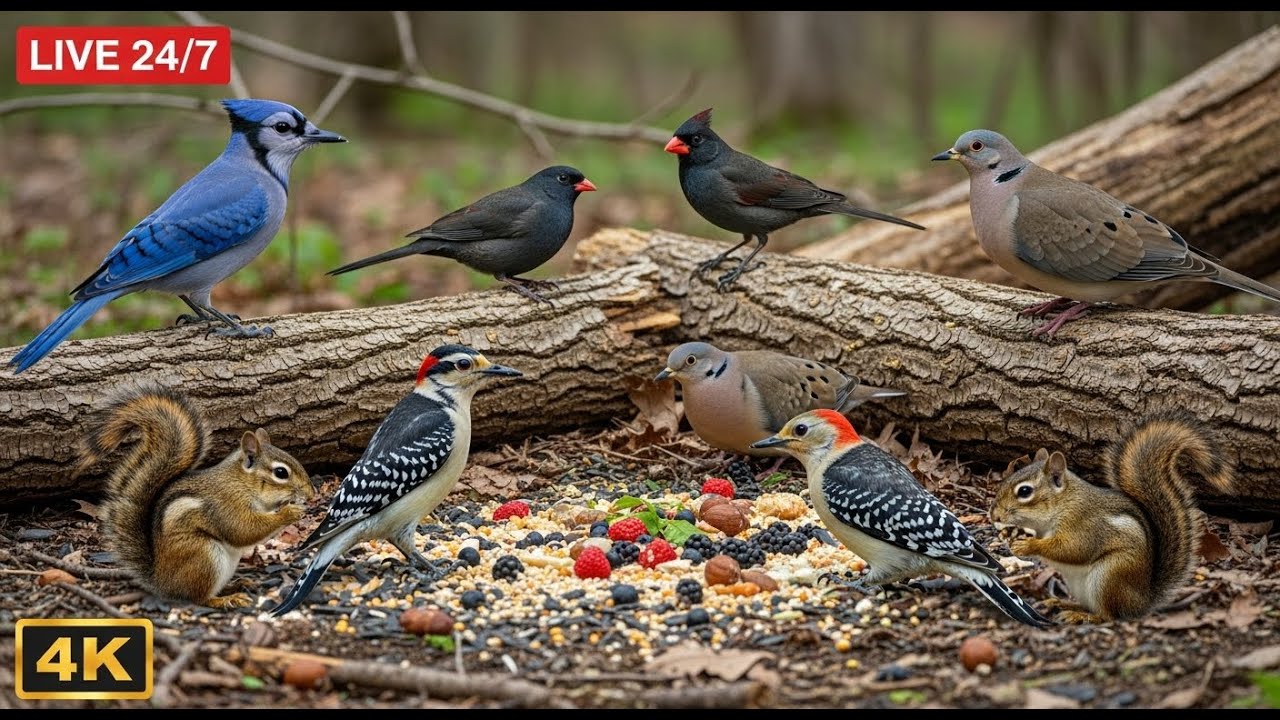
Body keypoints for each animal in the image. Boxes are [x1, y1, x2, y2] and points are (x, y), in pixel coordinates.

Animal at [76, 388, 314, 608]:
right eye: (281, 473)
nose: (312, 494)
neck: (242, 483)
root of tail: (161, 582)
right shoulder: (225, 504)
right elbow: (242, 530)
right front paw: (290, 512)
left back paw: (238, 584)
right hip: (204, 557)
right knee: (199, 598)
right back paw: (226, 599)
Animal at [991, 414, 1233, 623]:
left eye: (1024, 491)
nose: (993, 515)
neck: (1064, 503)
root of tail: (1142, 602)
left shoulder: (1084, 524)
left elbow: (1073, 549)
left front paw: (1027, 544)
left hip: (1110, 576)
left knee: (1108, 616)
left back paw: (1081, 616)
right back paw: (1065, 604)